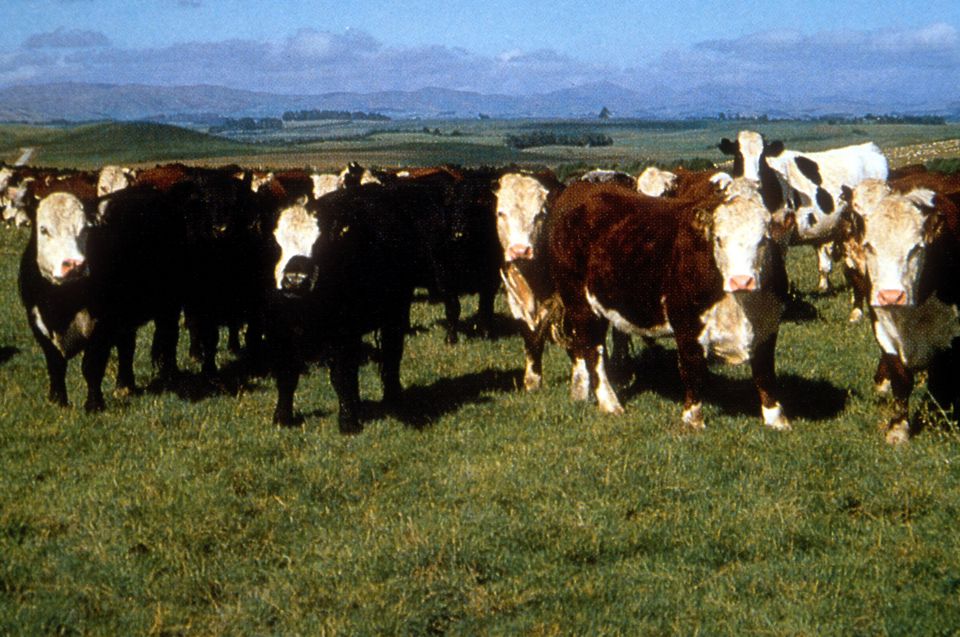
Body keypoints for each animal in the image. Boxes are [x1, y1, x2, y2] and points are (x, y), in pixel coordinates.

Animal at [19, 184, 184, 411]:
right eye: (43, 229)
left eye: (85, 229)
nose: (74, 265)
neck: (62, 304)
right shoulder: (37, 322)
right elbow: (55, 365)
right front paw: (57, 401)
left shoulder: (104, 324)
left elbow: (91, 365)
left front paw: (94, 405)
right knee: (127, 346)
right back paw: (125, 386)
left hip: (169, 304)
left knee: (168, 336)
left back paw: (169, 376)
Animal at [267, 184, 421, 433]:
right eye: (275, 242)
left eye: (321, 244)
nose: (296, 279)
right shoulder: (278, 330)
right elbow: (286, 373)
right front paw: (282, 418)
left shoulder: (342, 332)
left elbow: (341, 374)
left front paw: (348, 423)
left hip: (396, 311)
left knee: (391, 354)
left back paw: (392, 399)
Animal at [547, 178, 791, 430]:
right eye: (718, 239)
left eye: (764, 240)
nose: (741, 280)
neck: (740, 307)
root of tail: (580, 187)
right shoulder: (687, 326)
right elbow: (693, 370)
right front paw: (693, 421)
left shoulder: (768, 325)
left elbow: (764, 373)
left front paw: (777, 420)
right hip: (578, 301)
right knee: (593, 349)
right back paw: (609, 403)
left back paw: (580, 393)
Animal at [842, 179, 960, 444]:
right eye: (870, 246)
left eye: (917, 248)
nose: (891, 295)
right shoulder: (883, 327)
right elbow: (901, 378)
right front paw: (898, 428)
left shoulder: (951, 336)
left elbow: (941, 379)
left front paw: (938, 421)